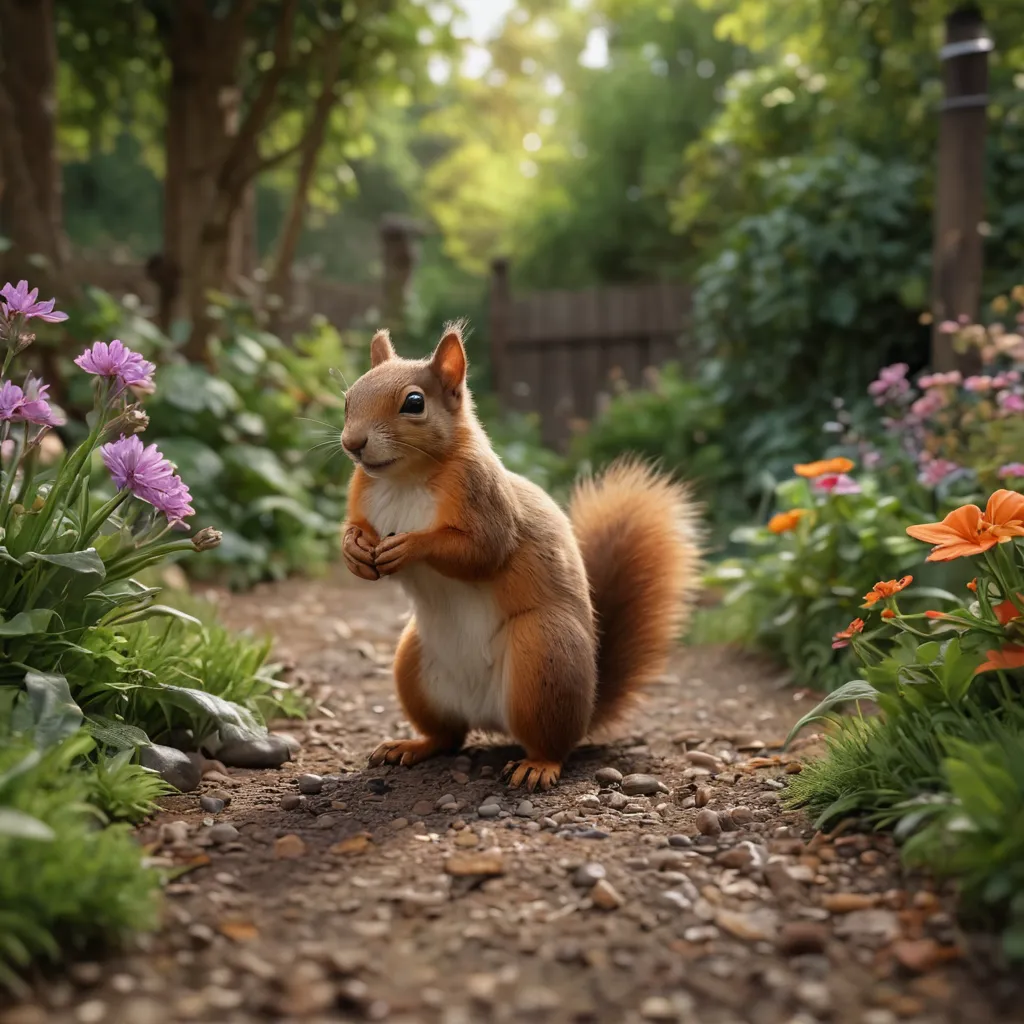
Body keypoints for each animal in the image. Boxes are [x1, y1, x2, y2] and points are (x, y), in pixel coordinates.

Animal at [340, 322, 702, 791]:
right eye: (348, 399)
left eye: (414, 403)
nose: (352, 444)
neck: (406, 478)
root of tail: (490, 717)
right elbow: (356, 532)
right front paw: (353, 549)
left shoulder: (486, 502)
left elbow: (481, 551)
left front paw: (410, 545)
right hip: (413, 664)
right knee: (448, 736)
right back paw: (411, 746)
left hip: (544, 654)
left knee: (550, 744)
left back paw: (537, 765)